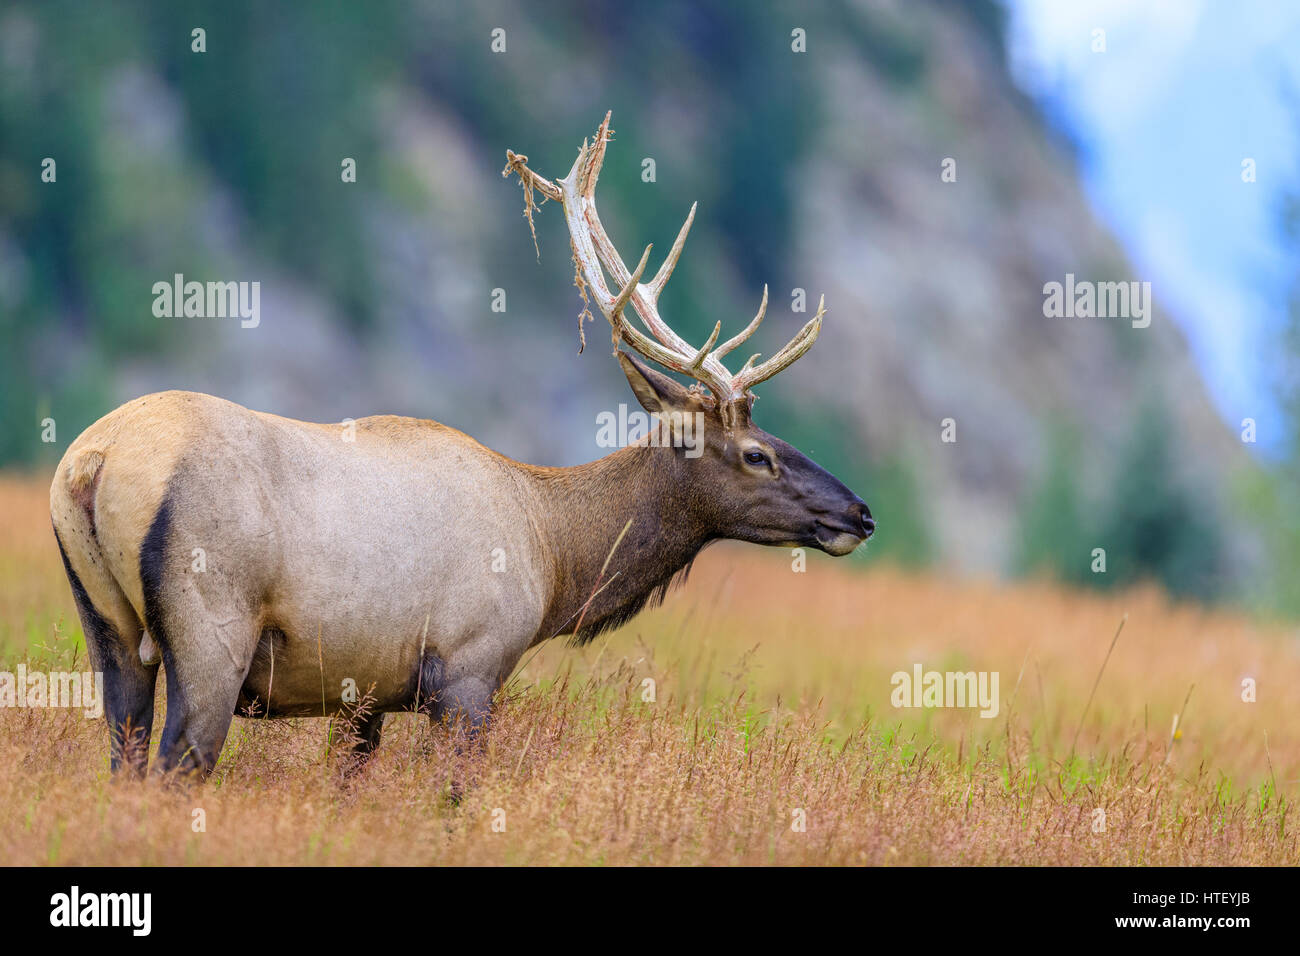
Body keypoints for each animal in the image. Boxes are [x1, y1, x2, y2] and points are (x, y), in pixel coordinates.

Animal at [48, 112, 874, 778]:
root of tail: (92, 464)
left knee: (124, 756)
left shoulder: (366, 695)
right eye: (758, 454)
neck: (556, 558)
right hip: (210, 626)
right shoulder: (469, 673)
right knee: (175, 764)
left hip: (108, 630)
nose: (860, 513)